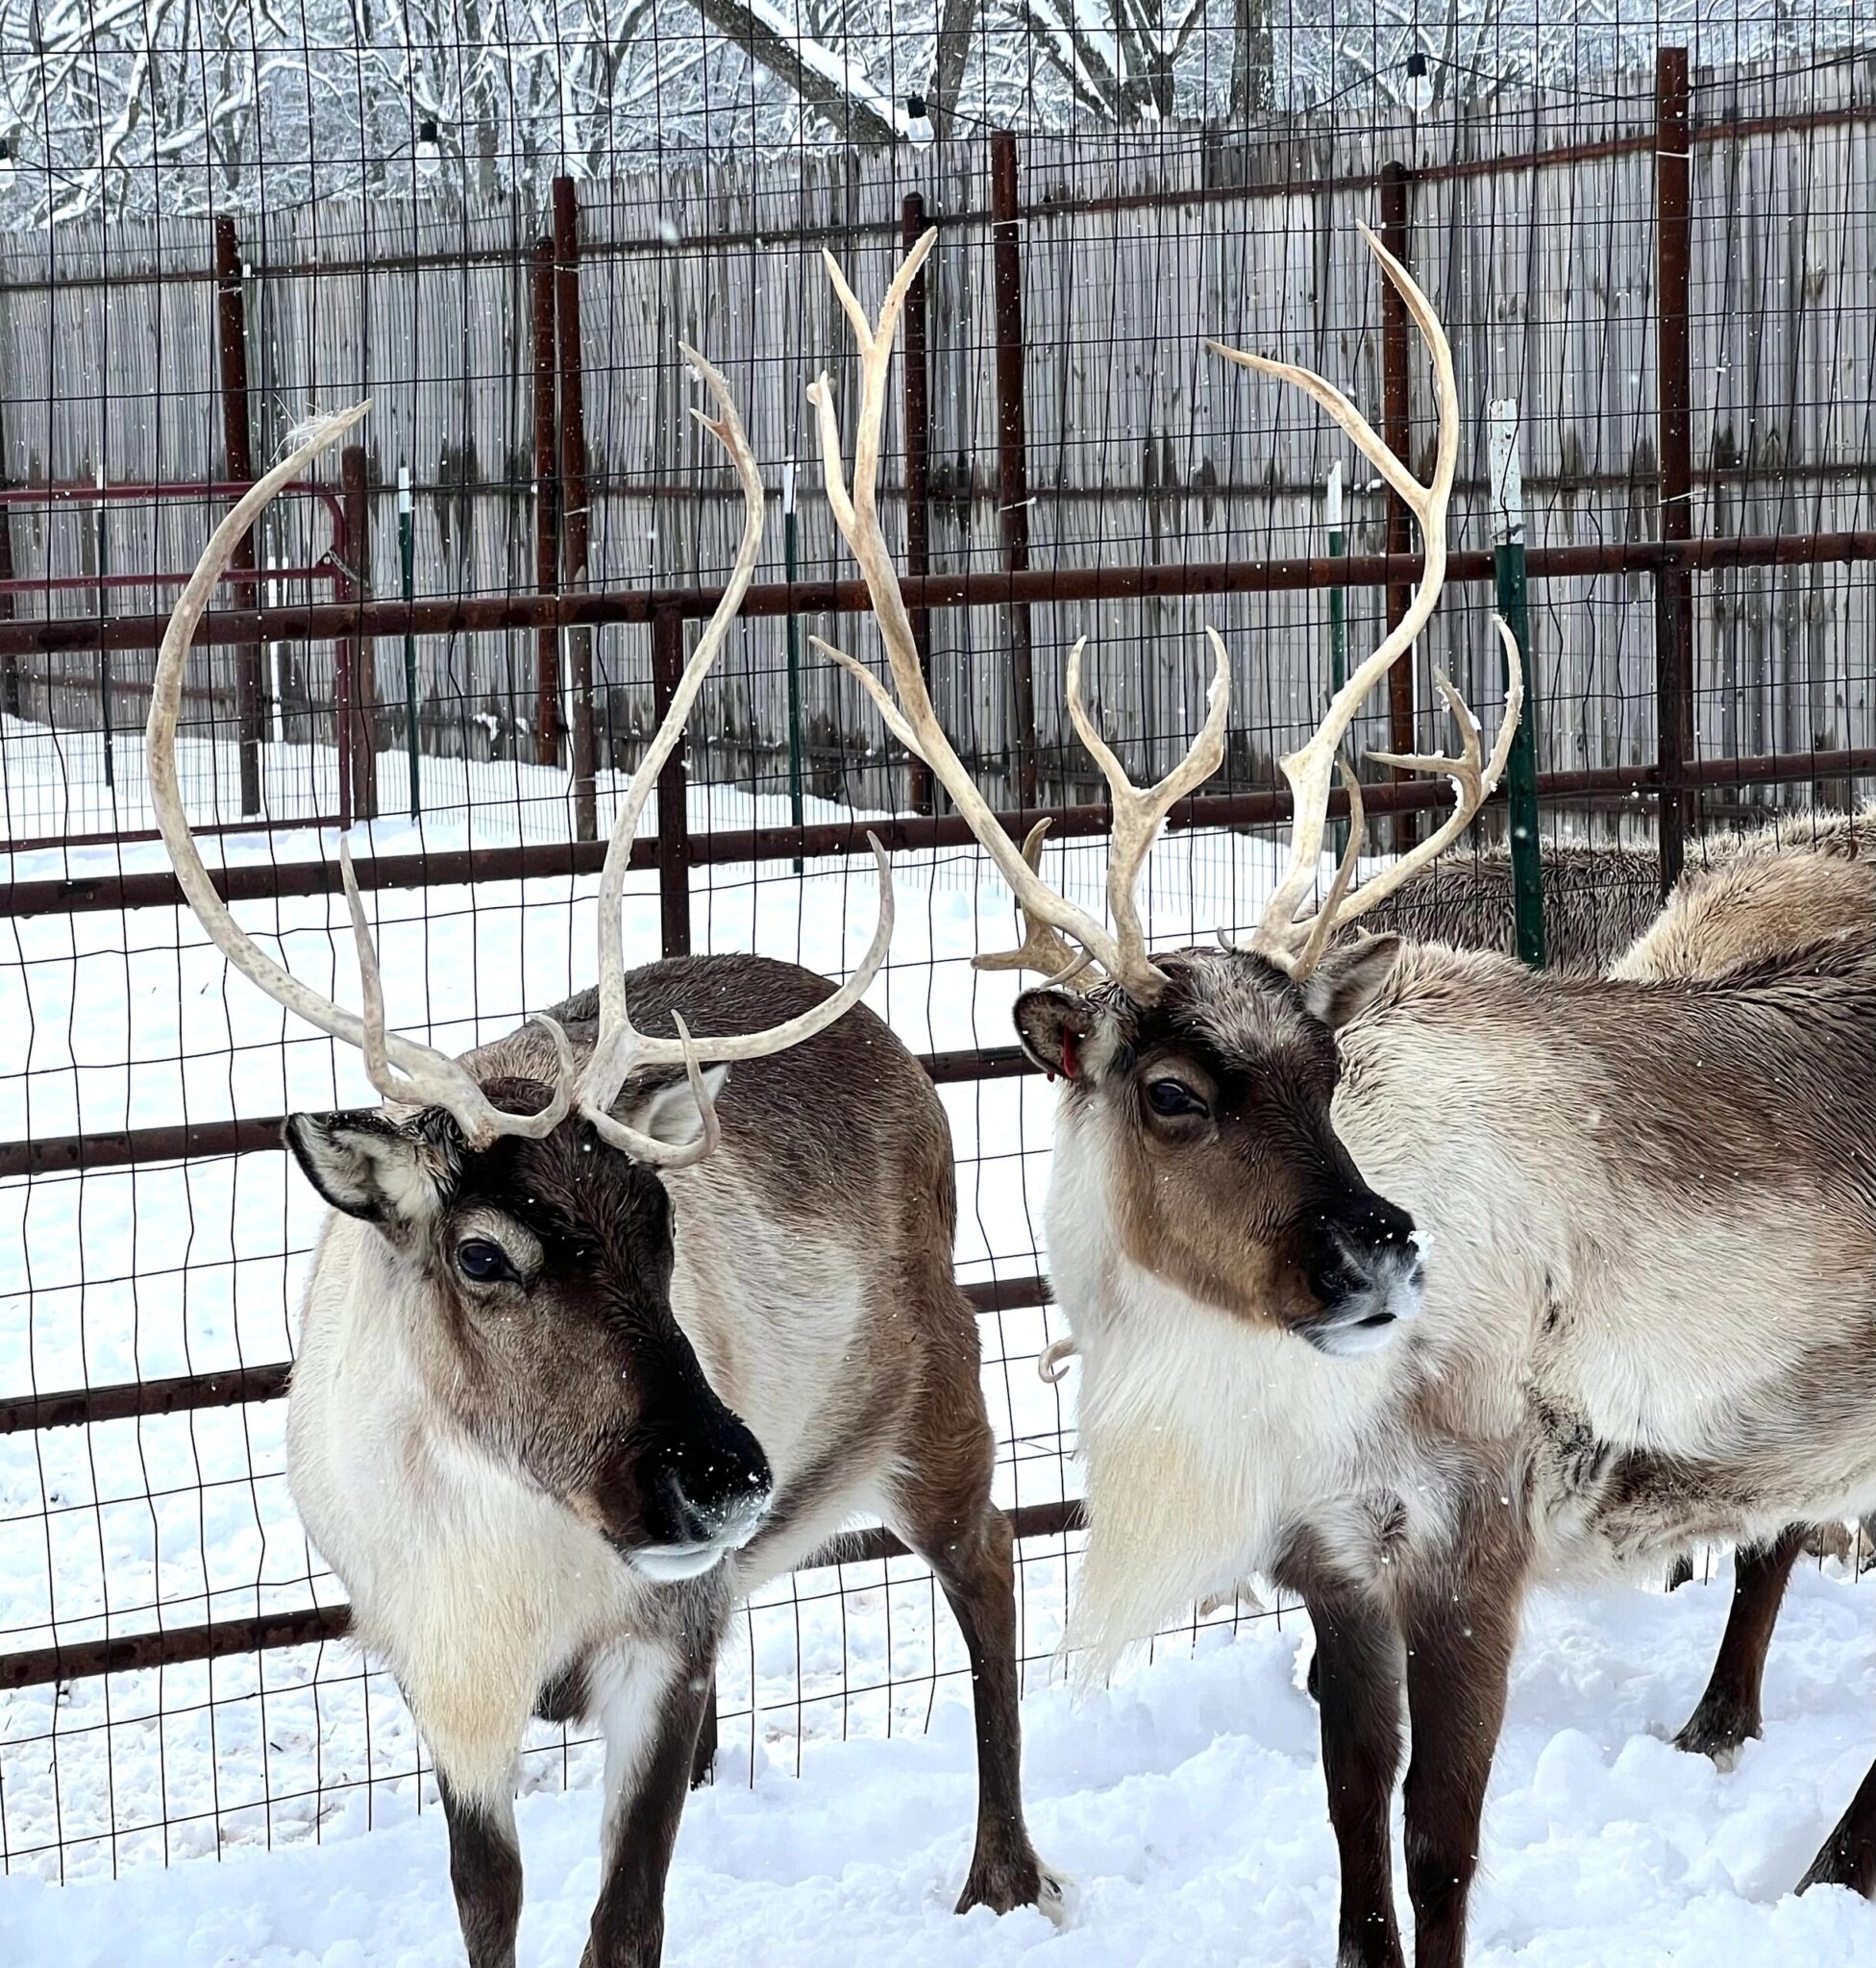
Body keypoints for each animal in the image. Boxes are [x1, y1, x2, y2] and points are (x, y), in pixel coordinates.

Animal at [143, 361, 1057, 1968]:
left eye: (659, 1223)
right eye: (484, 1253)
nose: (724, 1476)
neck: (504, 1548)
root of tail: (889, 1044)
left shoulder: (654, 1644)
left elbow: (620, 1929)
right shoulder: (442, 1684)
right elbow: (488, 1907)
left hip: (937, 1393)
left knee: (994, 1574)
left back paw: (1003, 1872)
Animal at [804, 228, 1876, 1965]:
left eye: (1326, 1071)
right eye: (1171, 1089)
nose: (1384, 1251)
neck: (1255, 1403)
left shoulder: (1473, 1534)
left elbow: (1439, 1839)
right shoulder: (1327, 1556)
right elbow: (1351, 1820)